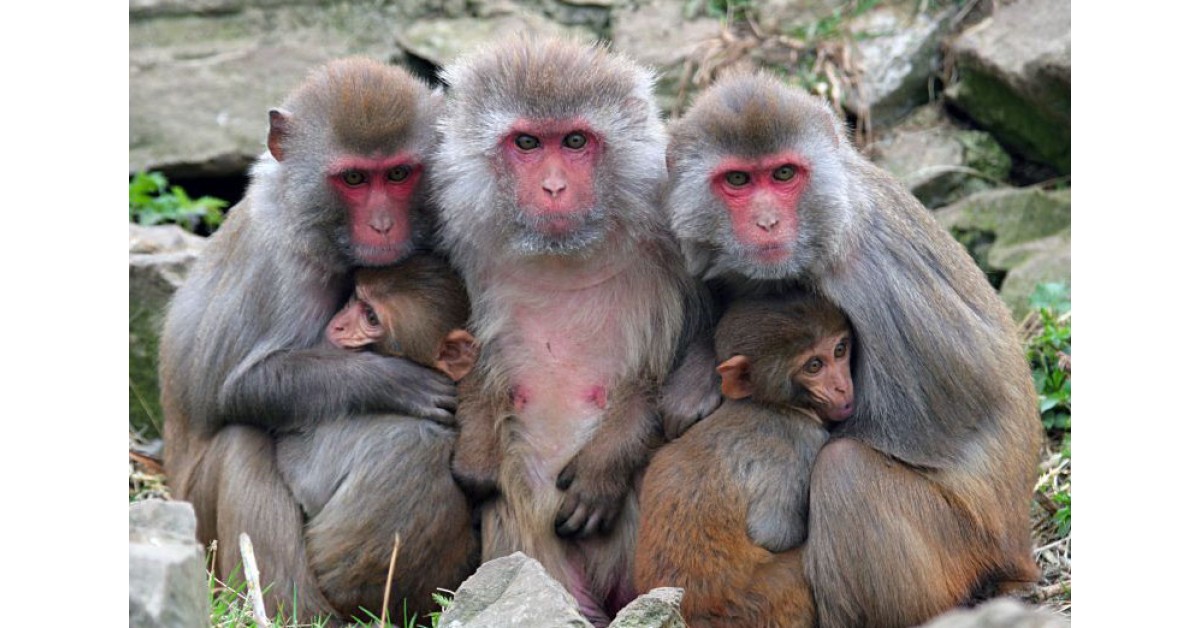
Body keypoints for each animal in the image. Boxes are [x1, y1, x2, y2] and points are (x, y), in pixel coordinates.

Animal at [429, 36, 714, 626]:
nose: (555, 186)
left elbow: (675, 362)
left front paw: (604, 465)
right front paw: (476, 451)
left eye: (576, 141)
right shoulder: (456, 244)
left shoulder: (671, 232)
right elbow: (462, 353)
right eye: (528, 143)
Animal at [635, 291, 855, 628]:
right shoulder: (799, 444)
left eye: (840, 349)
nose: (842, 387)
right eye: (814, 365)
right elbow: (773, 532)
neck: (773, 405)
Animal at [664, 71, 1043, 627]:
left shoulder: (873, 278)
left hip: (967, 549)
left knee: (847, 472)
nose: (767, 223)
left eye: (783, 175)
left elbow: (932, 419)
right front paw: (694, 381)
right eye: (738, 181)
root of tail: (1021, 552)